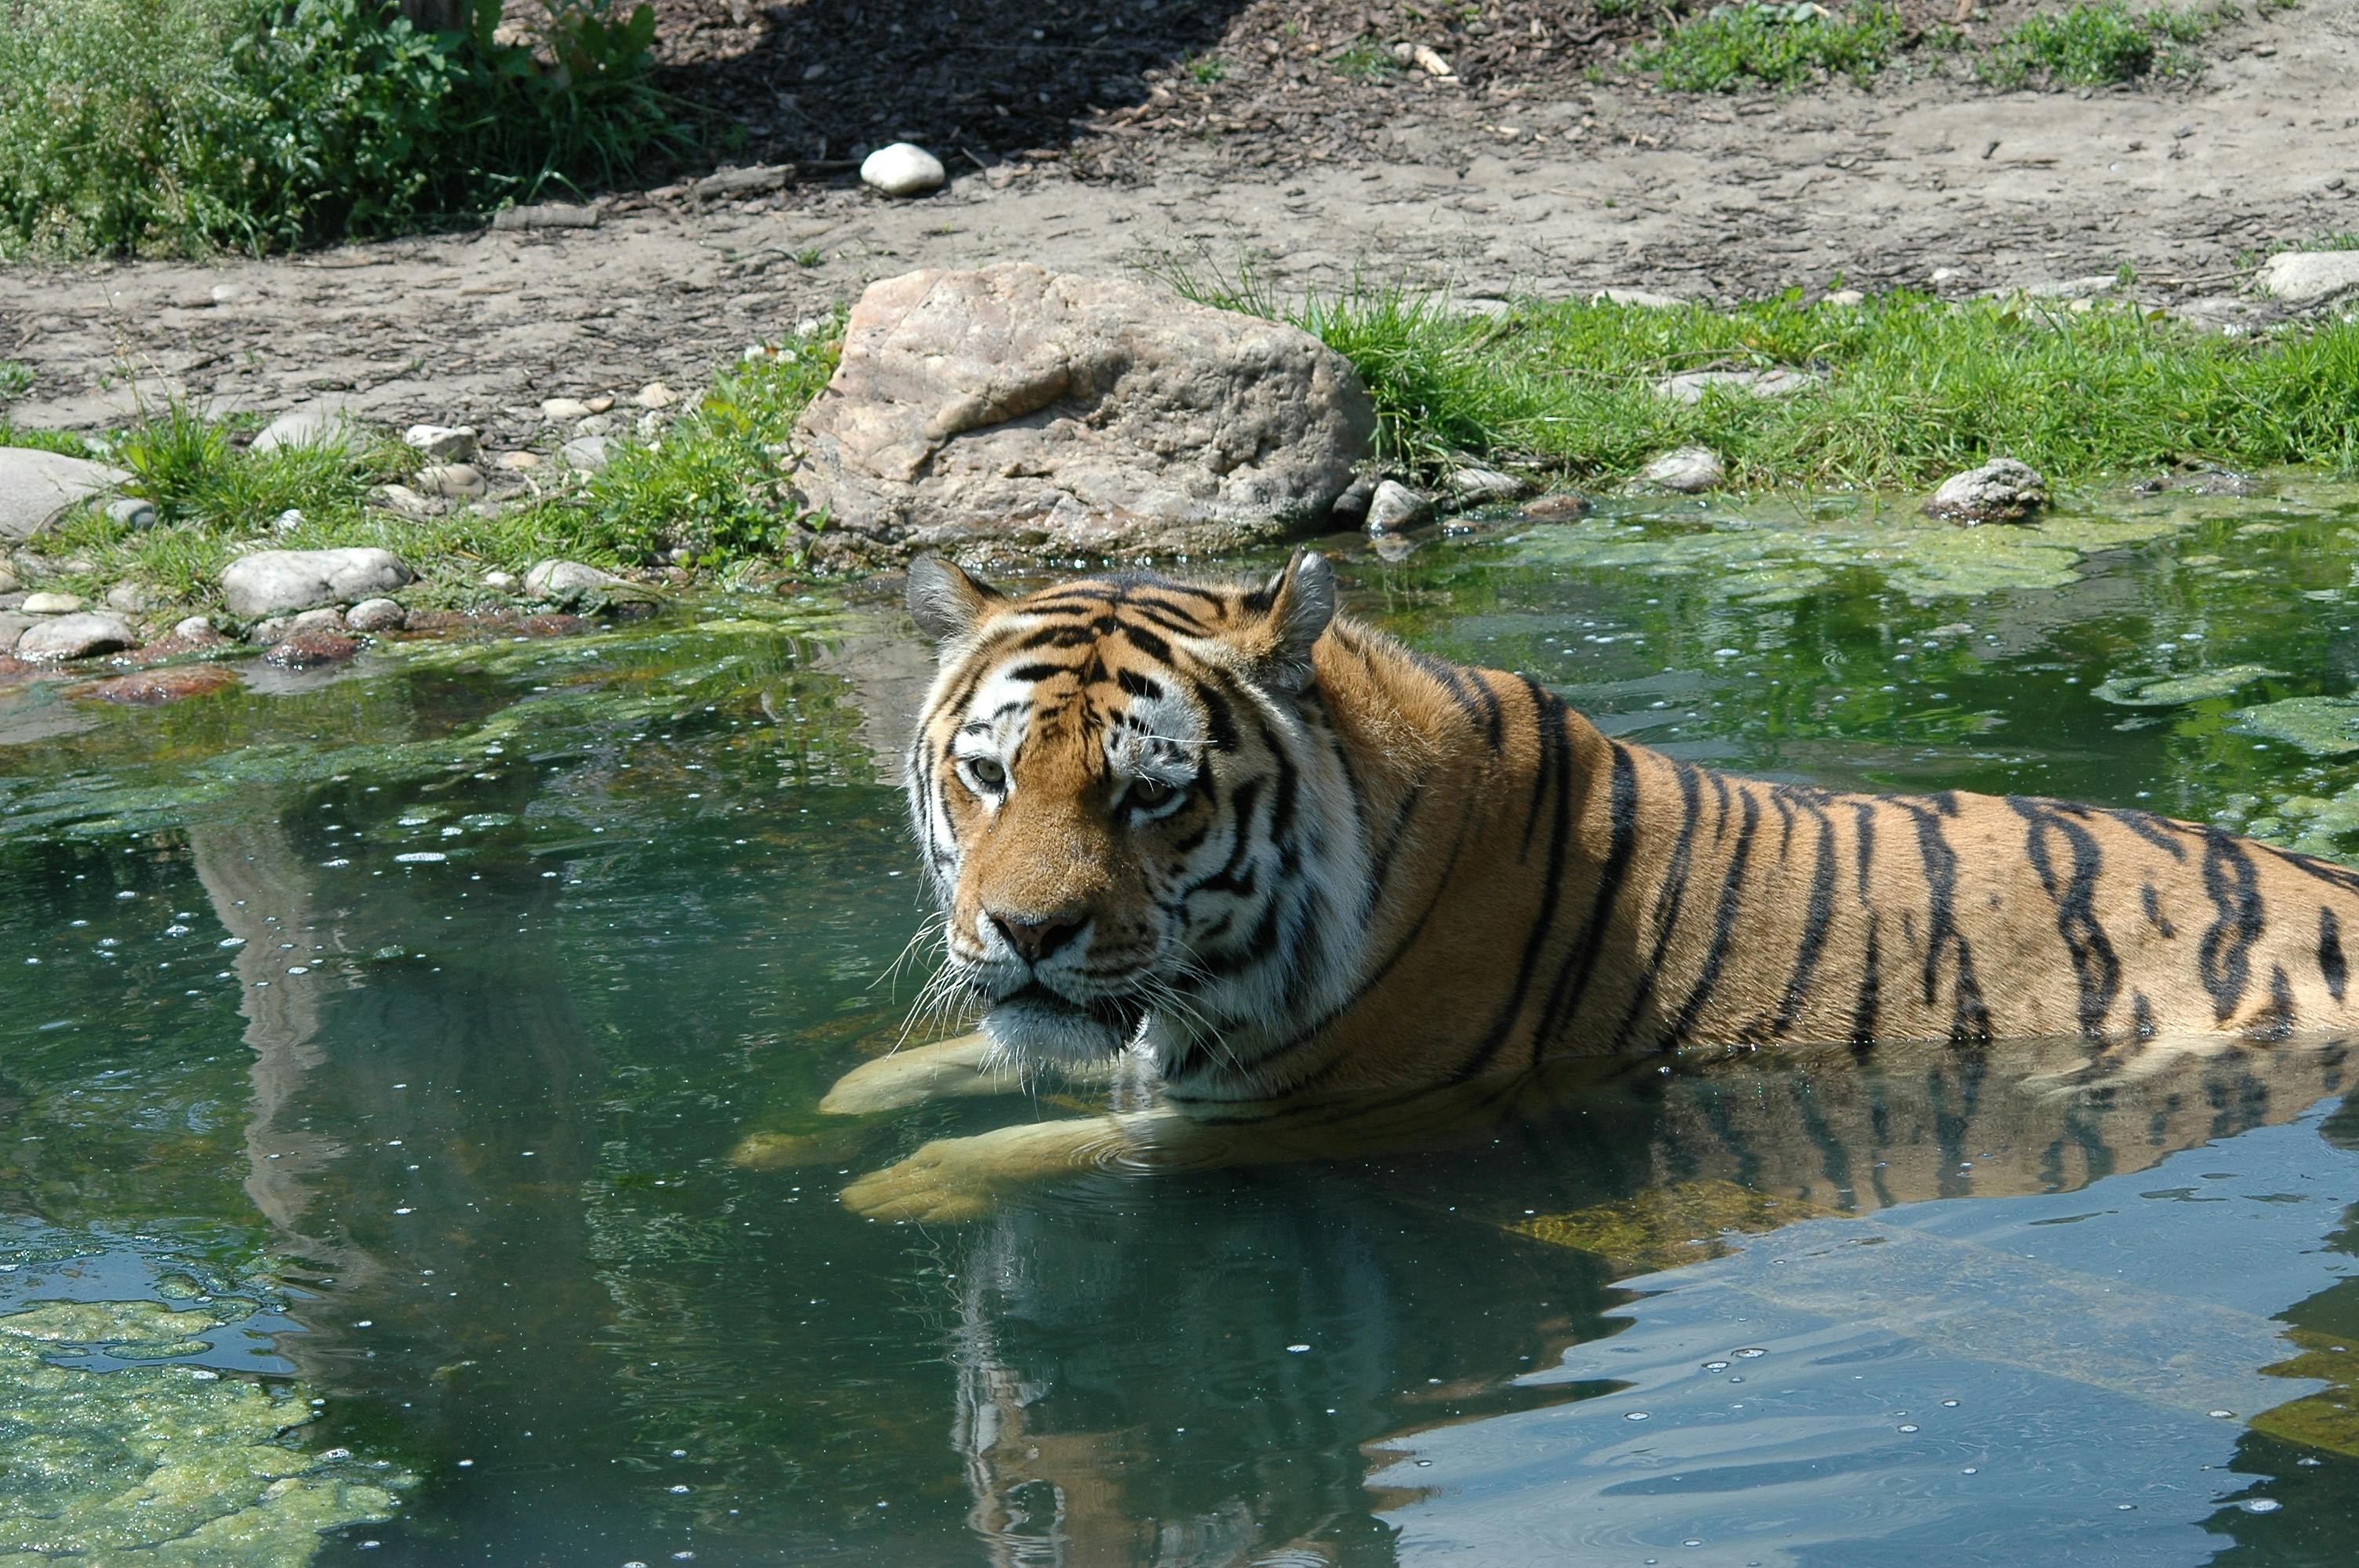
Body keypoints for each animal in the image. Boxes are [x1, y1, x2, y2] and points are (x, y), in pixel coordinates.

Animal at [820, 549, 2359, 1220]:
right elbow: (973, 1058)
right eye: (988, 774)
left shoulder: (1318, 1107)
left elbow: (1064, 1142)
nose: (1026, 931)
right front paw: (820, 1114)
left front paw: (893, 1191)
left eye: (1152, 793)